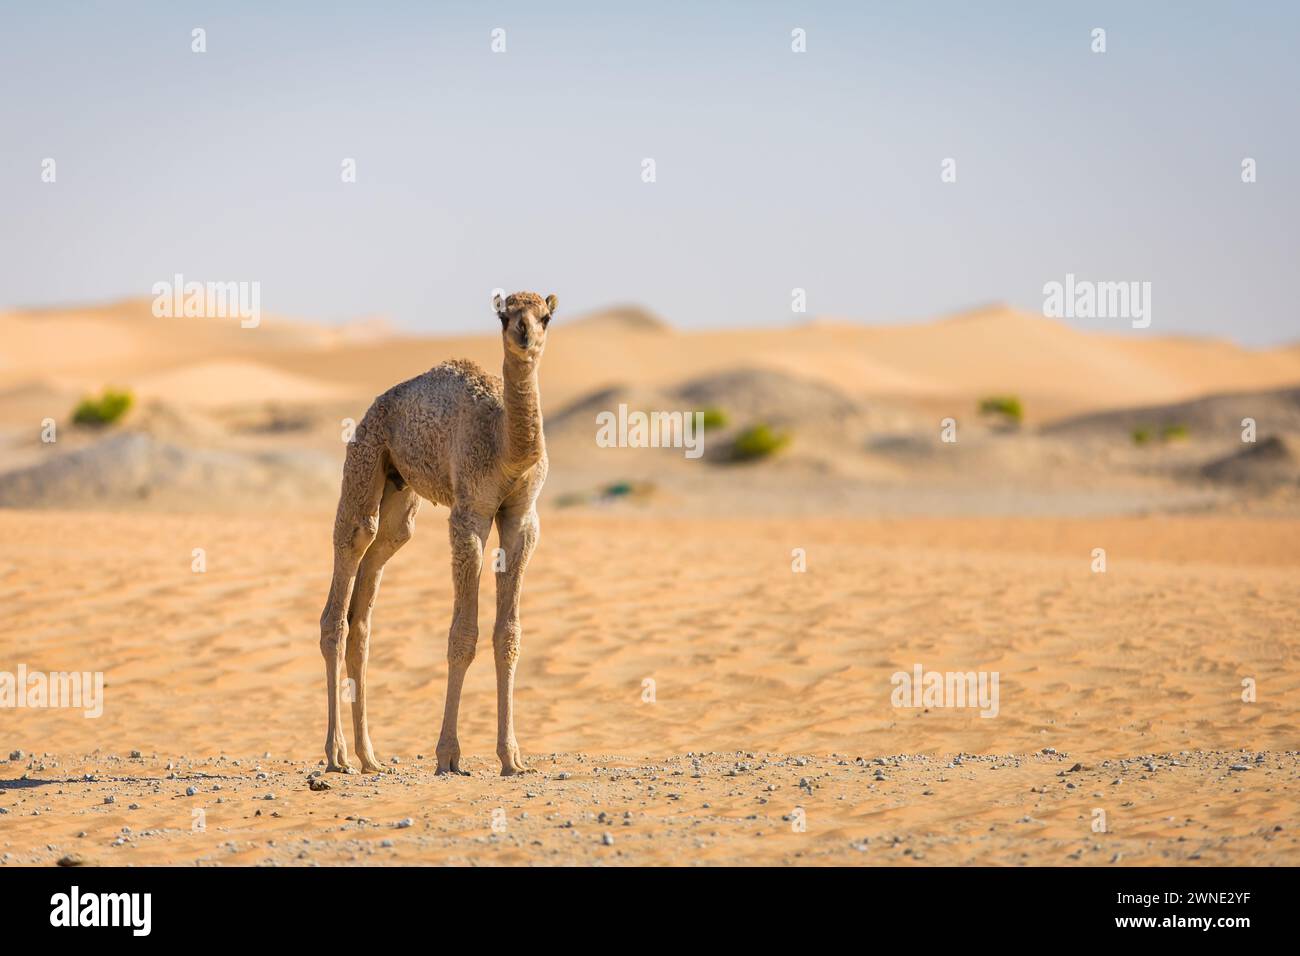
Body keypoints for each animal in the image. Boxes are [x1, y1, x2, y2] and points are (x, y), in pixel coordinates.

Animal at [319, 291, 556, 777]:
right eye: (505, 315)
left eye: (546, 316)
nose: (524, 334)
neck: (505, 445)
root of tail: (376, 406)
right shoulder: (470, 513)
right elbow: (463, 634)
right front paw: (448, 755)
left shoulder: (522, 518)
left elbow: (508, 635)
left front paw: (512, 758)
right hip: (365, 456)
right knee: (347, 564)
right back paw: (336, 756)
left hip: (399, 493)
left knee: (368, 598)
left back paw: (369, 756)